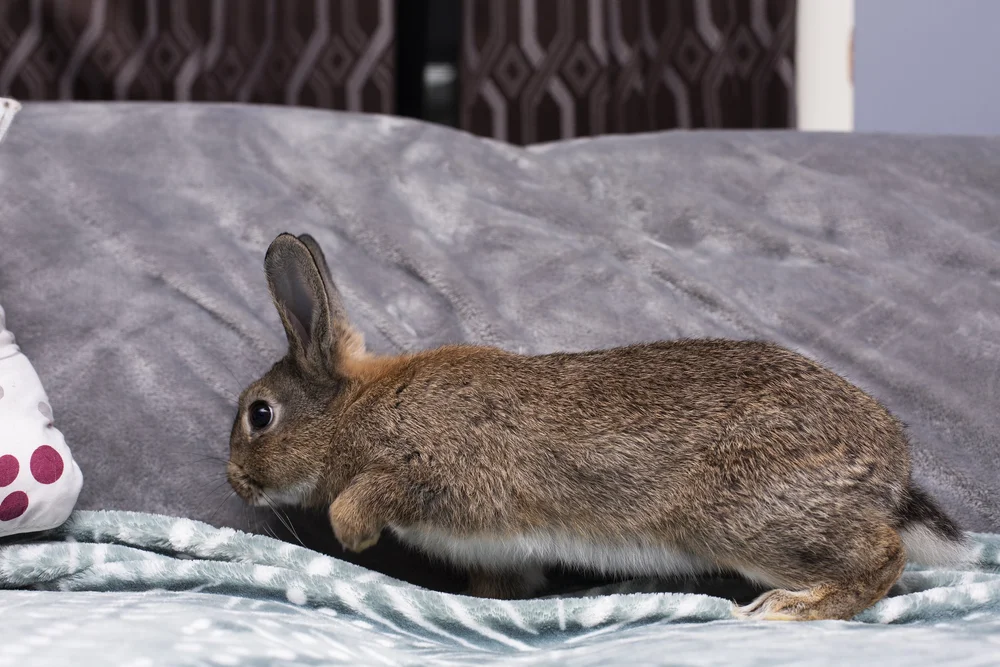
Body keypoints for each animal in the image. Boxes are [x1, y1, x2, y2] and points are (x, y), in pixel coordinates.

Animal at [227, 232, 970, 621]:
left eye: (260, 414)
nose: (233, 479)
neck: (357, 409)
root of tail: (892, 472)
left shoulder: (443, 471)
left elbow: (376, 494)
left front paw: (351, 530)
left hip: (749, 517)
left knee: (883, 557)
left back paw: (794, 608)